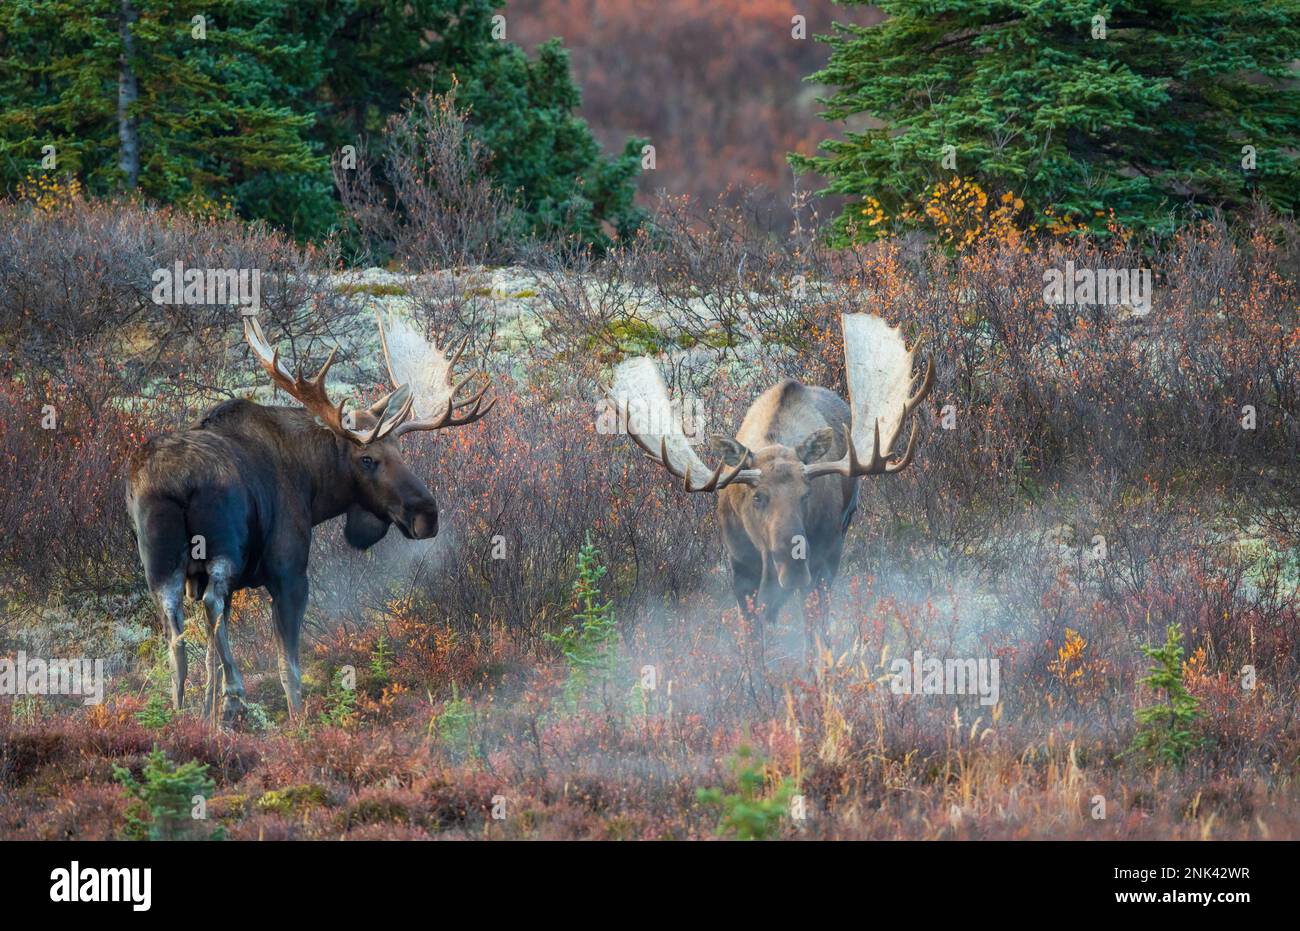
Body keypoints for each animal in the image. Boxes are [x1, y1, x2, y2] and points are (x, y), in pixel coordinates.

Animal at [125, 312, 493, 725]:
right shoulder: (289, 571)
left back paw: (175, 710)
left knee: (174, 630)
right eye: (367, 458)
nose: (427, 515)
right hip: (223, 548)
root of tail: (177, 482)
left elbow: (209, 658)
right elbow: (289, 665)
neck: (313, 487)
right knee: (212, 603)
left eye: (401, 450)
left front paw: (207, 718)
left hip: (159, 562)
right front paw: (297, 721)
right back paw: (236, 696)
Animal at [609, 313, 932, 655]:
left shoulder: (824, 555)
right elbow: (752, 636)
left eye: (806, 494)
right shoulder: (739, 564)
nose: (791, 566)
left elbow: (815, 629)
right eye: (758, 497)